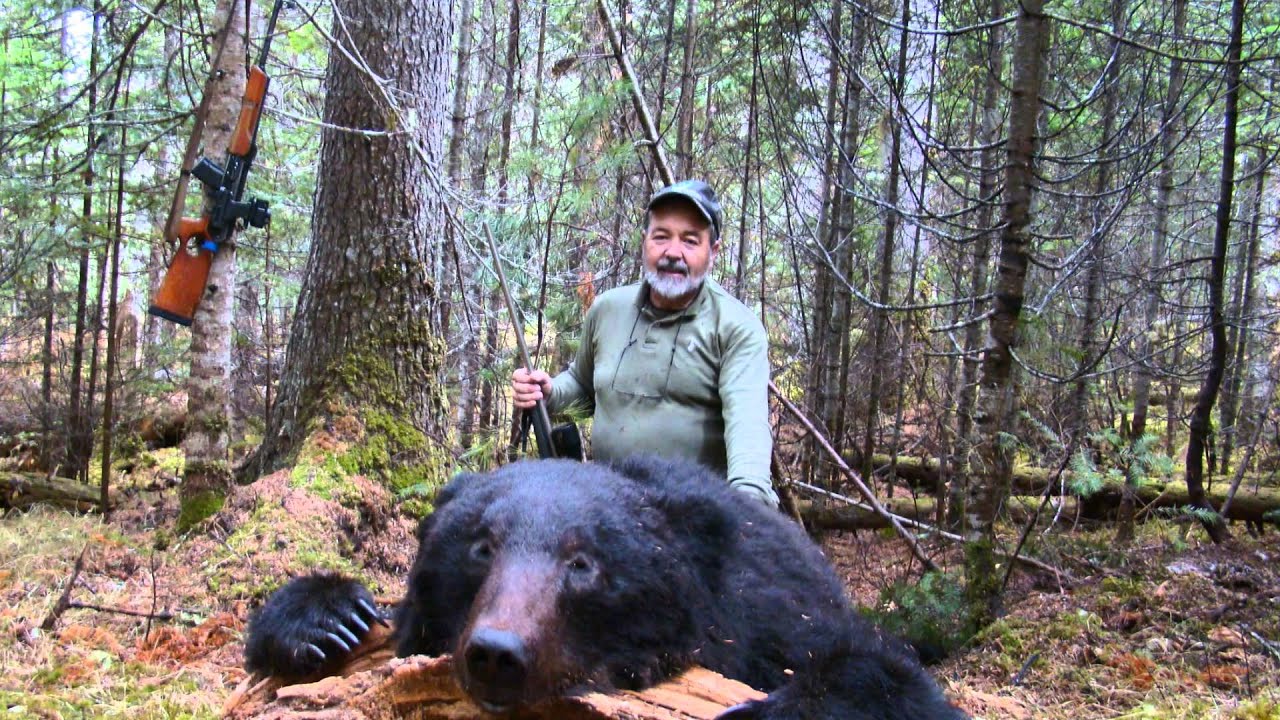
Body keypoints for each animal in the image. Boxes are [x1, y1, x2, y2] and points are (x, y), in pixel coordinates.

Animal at [244, 455, 967, 719]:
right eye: (482, 545)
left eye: (583, 563)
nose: (498, 653)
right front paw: (323, 620)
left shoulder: (772, 621)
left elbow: (885, 675)